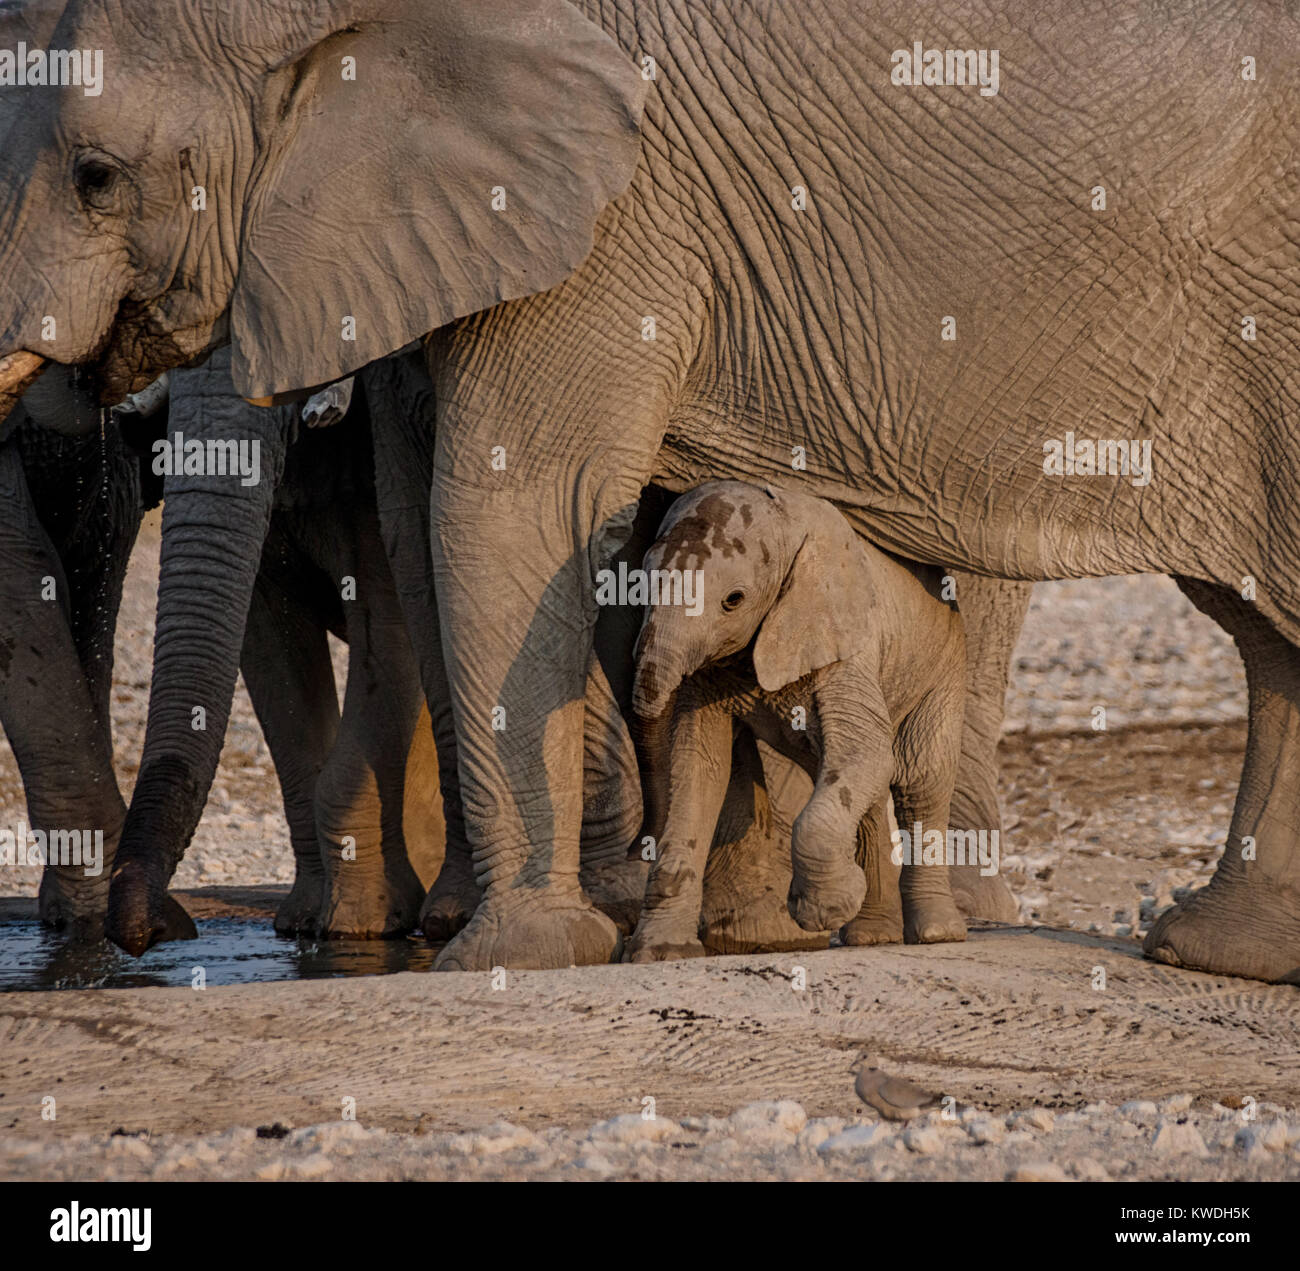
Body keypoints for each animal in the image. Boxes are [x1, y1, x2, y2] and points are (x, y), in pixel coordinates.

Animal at [627, 481, 968, 961]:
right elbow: (696, 768)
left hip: (941, 664)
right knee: (859, 785)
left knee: (918, 781)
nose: (634, 847)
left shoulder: (845, 643)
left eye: (733, 601)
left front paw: (823, 910)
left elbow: (867, 751)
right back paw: (871, 936)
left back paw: (937, 933)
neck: (784, 523)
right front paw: (661, 952)